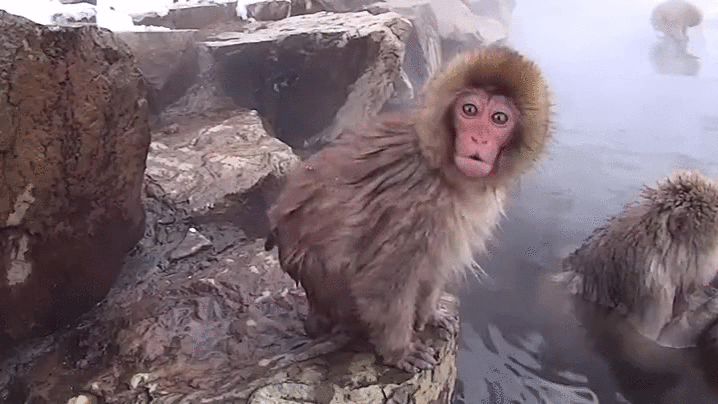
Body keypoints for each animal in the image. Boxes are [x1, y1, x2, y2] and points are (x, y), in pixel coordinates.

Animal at [265, 46, 553, 372]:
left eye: (499, 118)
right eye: (469, 110)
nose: (479, 139)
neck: (441, 167)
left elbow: (435, 263)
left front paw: (429, 314)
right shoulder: (418, 207)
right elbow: (384, 281)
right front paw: (399, 351)